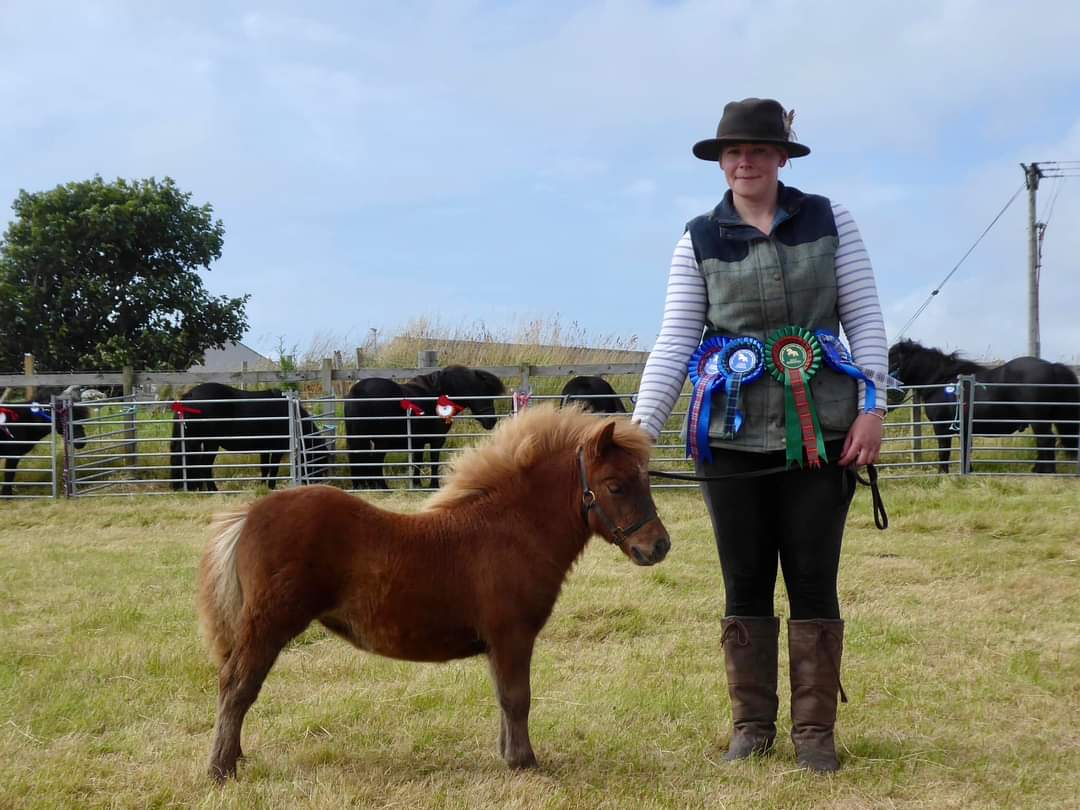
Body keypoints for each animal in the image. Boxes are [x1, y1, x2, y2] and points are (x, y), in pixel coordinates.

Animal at [169, 383, 333, 492]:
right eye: (319, 462)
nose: (318, 486)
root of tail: (189, 397)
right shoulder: (278, 448)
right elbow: (273, 468)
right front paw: (271, 488)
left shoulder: (265, 448)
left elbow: (264, 468)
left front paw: (262, 487)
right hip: (209, 443)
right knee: (203, 466)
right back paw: (212, 491)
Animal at [198, 405, 671, 781]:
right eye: (615, 485)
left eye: (645, 481)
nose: (658, 546)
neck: (511, 531)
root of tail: (249, 514)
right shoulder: (512, 635)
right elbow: (517, 698)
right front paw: (525, 762)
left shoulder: (497, 643)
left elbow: (504, 698)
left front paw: (508, 756)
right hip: (268, 624)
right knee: (238, 685)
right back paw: (221, 769)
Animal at [343, 365, 505, 489]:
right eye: (483, 393)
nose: (491, 421)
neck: (437, 395)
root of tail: (357, 391)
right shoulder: (436, 440)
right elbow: (434, 461)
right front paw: (434, 485)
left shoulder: (418, 442)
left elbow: (417, 462)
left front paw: (417, 485)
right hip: (381, 441)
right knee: (374, 462)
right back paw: (383, 488)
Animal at [888, 339, 1080, 473]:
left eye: (893, 361)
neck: (941, 381)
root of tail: (1052, 367)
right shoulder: (964, 428)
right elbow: (965, 449)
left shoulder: (941, 427)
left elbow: (944, 450)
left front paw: (942, 473)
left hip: (1039, 420)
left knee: (1046, 441)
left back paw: (1046, 471)